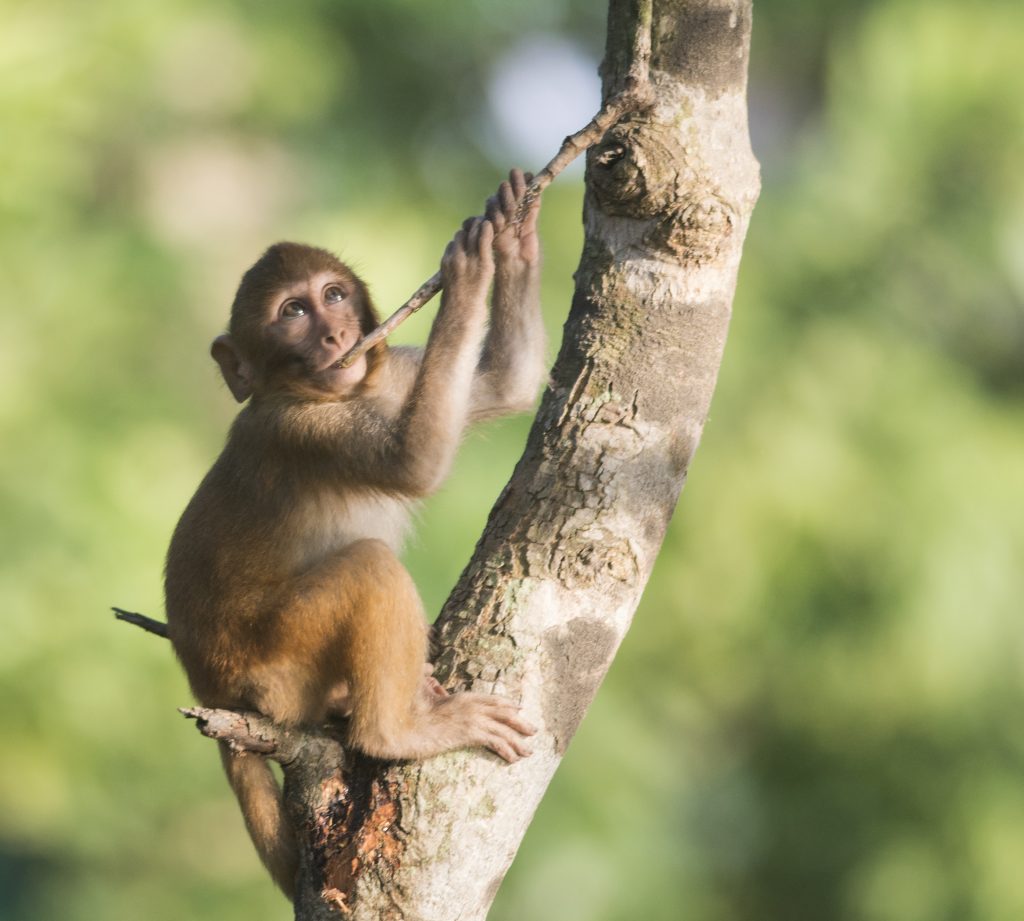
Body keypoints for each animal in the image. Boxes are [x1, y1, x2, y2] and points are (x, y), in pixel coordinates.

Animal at [163, 170, 546, 900]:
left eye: (333, 295)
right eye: (293, 312)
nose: (334, 332)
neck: (342, 394)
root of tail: (209, 689)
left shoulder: (394, 370)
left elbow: (507, 384)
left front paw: (511, 236)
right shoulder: (299, 430)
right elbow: (411, 463)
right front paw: (468, 274)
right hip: (274, 662)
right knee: (368, 565)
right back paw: (392, 732)